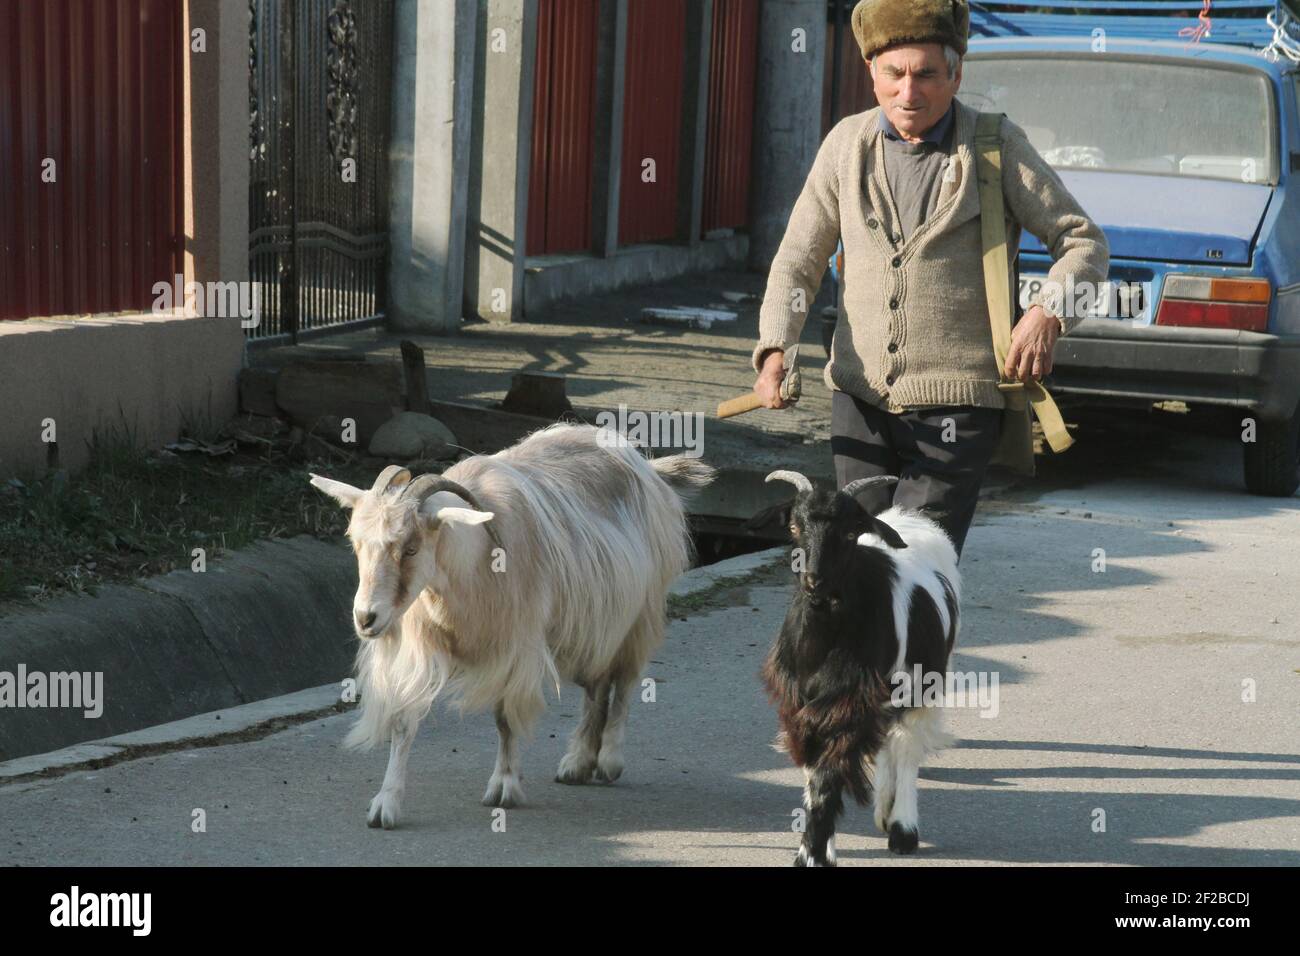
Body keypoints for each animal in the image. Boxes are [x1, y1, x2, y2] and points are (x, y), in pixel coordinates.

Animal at [309, 422, 714, 828]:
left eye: (410, 548)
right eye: (356, 543)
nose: (366, 618)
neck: (474, 562)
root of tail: (646, 467)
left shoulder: (516, 646)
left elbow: (505, 718)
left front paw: (504, 786)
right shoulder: (419, 645)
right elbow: (403, 721)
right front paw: (386, 804)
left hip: (640, 611)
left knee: (627, 678)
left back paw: (609, 760)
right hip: (593, 619)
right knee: (597, 682)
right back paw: (579, 762)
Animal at [754, 470, 959, 866]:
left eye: (849, 534)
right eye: (793, 527)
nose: (814, 580)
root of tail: (907, 519)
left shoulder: (848, 701)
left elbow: (830, 775)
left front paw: (815, 853)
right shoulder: (803, 704)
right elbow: (816, 773)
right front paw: (814, 852)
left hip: (923, 686)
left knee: (906, 745)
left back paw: (902, 827)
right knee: (886, 742)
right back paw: (884, 811)